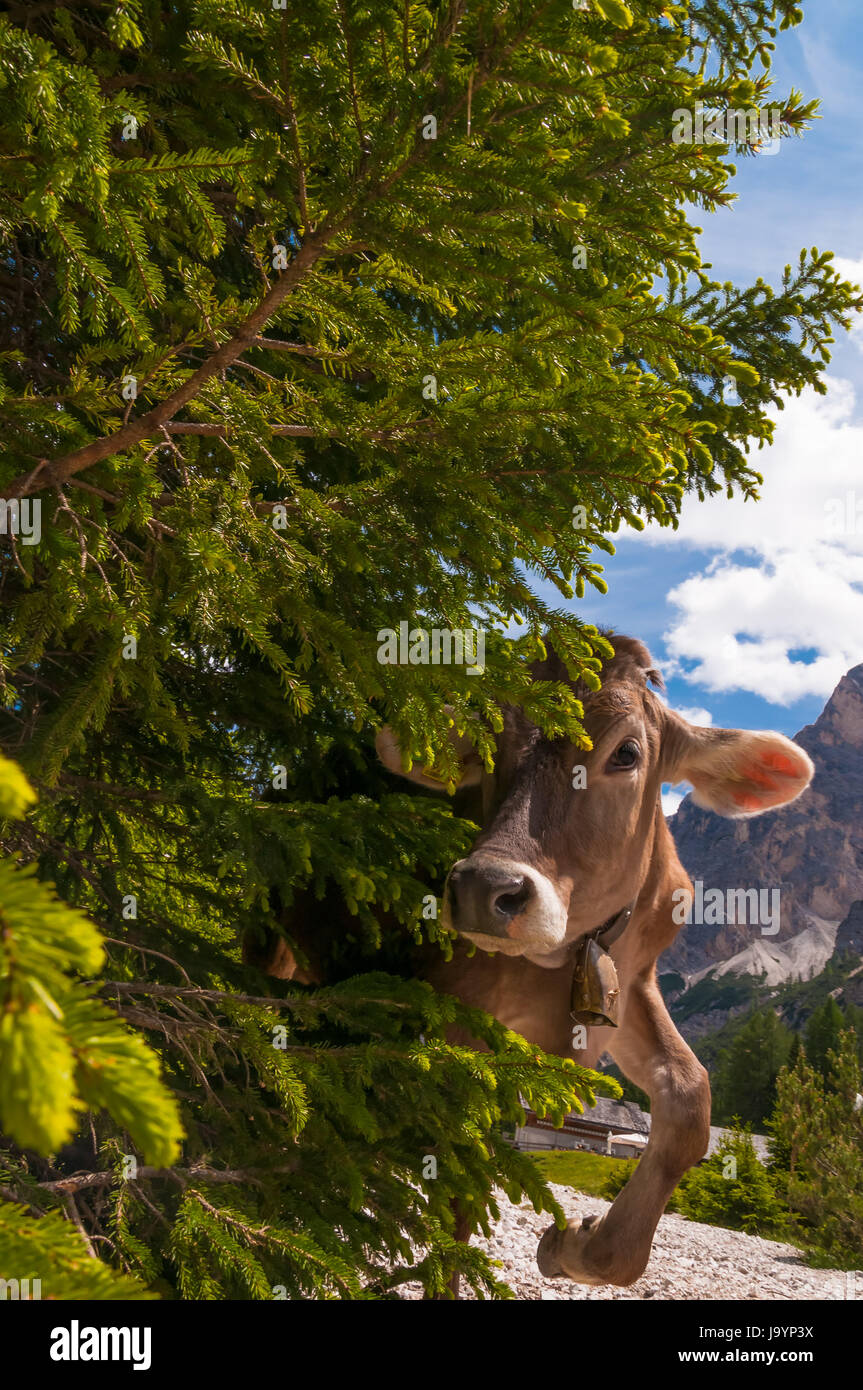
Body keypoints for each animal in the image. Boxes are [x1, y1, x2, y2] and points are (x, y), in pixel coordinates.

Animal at [374, 634, 814, 1288]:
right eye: (487, 746)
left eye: (626, 754)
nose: (484, 888)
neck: (563, 952)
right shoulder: (459, 997)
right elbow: (458, 1183)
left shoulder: (627, 987)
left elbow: (689, 1097)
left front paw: (575, 1247)